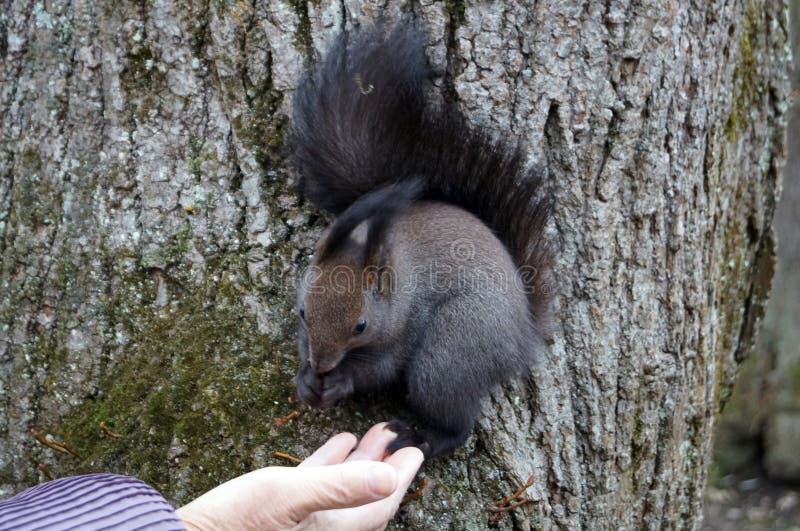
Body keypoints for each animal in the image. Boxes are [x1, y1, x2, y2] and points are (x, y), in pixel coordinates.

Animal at [288, 24, 553, 458]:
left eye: (361, 325)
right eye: (302, 313)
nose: (324, 365)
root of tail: (523, 334)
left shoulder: (405, 326)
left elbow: (381, 369)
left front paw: (342, 380)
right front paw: (306, 379)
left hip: (452, 350)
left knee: (455, 421)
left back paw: (421, 437)